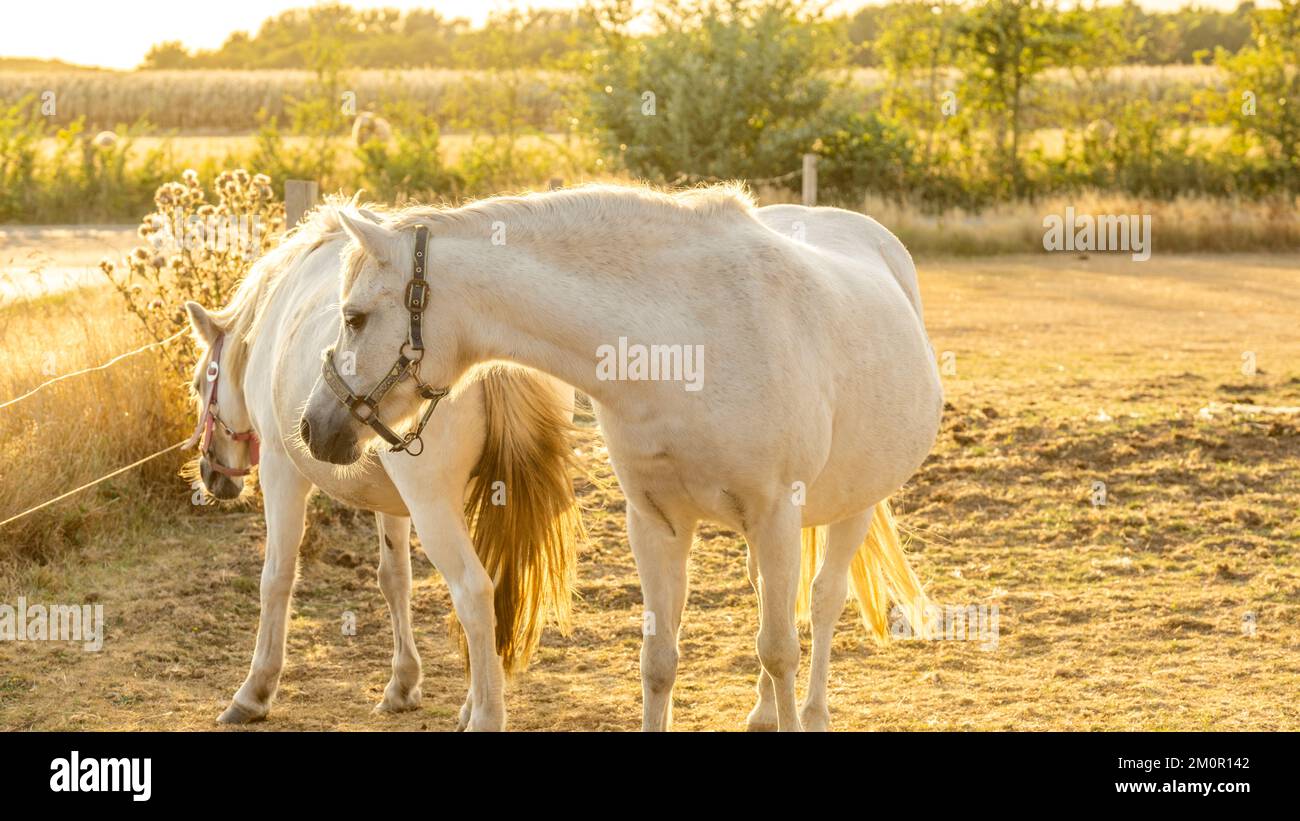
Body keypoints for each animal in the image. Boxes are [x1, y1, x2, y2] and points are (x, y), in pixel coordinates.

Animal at [183, 203, 583, 732]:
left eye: (197, 385)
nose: (211, 476)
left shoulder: (281, 473)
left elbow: (277, 577)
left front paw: (255, 690)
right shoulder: (391, 503)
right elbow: (394, 579)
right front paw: (403, 684)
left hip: (433, 507)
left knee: (473, 591)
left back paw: (484, 712)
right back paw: (472, 700)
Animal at [298, 184, 943, 731]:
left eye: (354, 316)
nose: (313, 427)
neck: (688, 341)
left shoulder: (777, 515)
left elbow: (782, 649)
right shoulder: (655, 523)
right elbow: (659, 659)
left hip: (854, 506)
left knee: (825, 600)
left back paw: (812, 713)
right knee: (770, 595)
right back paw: (763, 713)